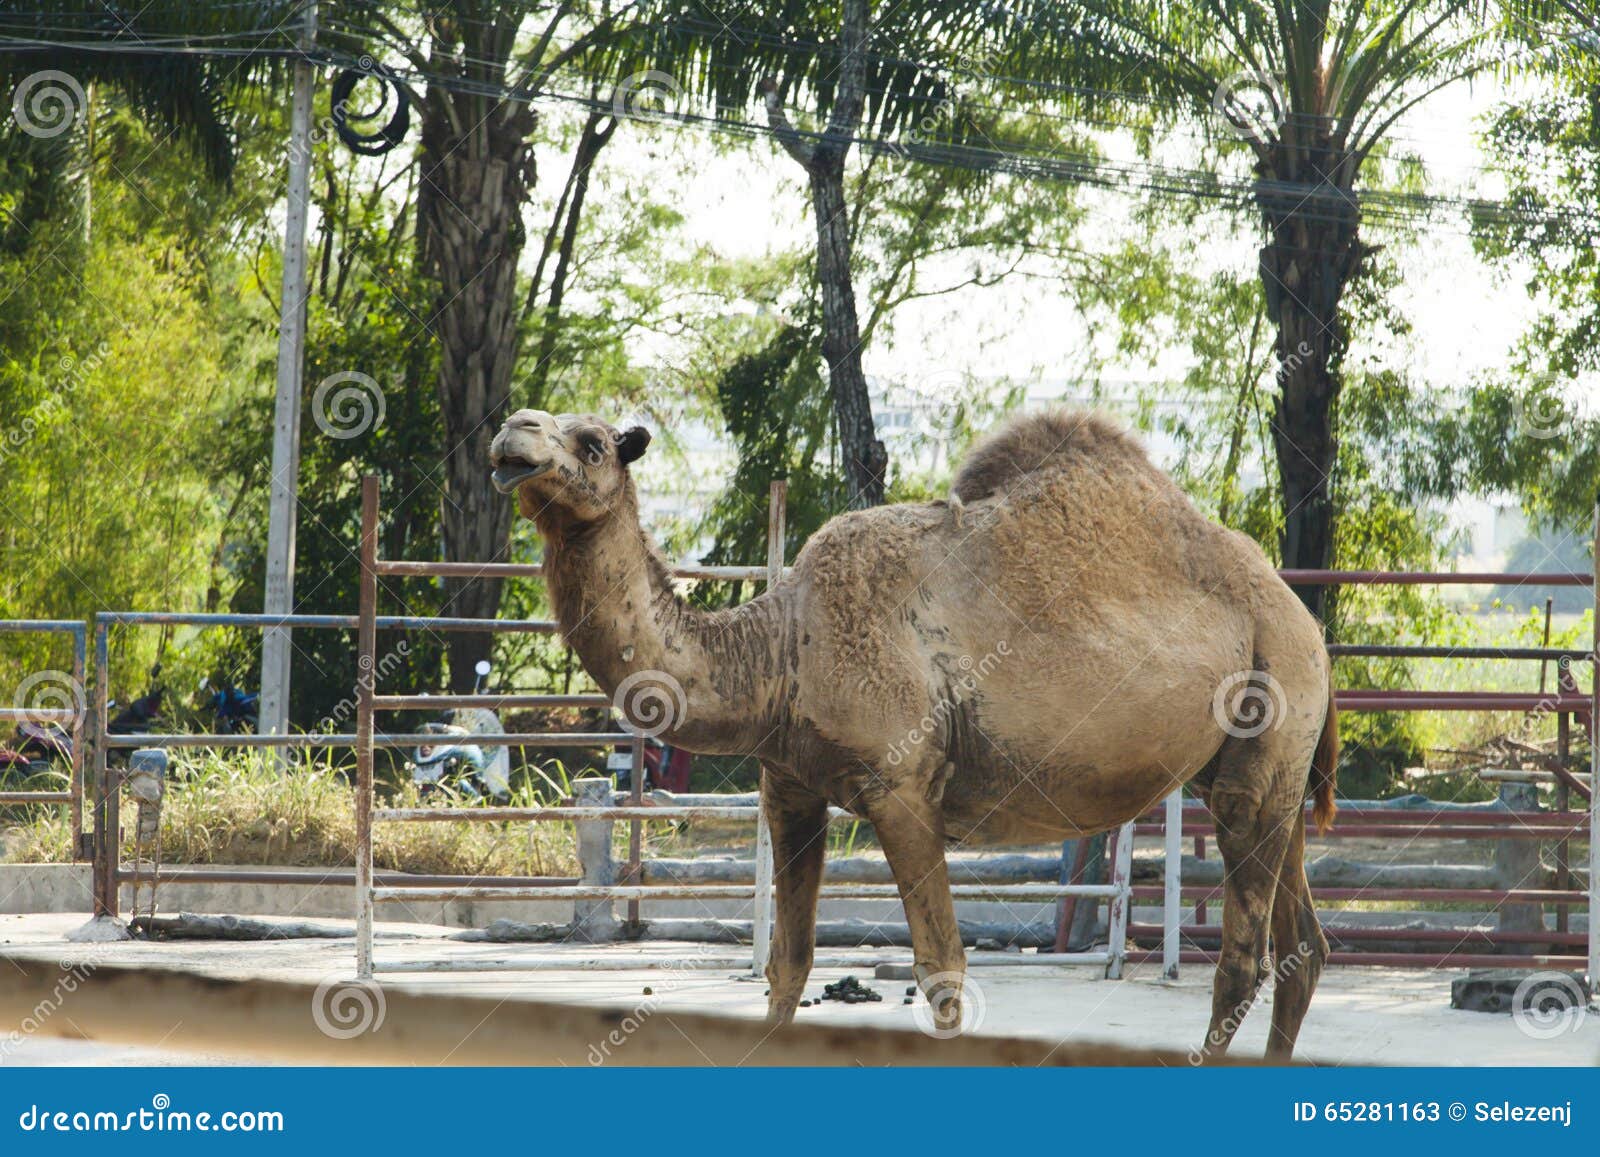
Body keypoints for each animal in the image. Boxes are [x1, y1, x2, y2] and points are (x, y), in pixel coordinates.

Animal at [489, 407, 1339, 1060]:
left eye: (591, 442)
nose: (511, 434)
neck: (780, 648)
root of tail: (1304, 621)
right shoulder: (789, 786)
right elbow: (787, 963)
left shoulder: (902, 788)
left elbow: (942, 970)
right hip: (1272, 773)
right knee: (1306, 945)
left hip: (1266, 733)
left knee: (1244, 958)